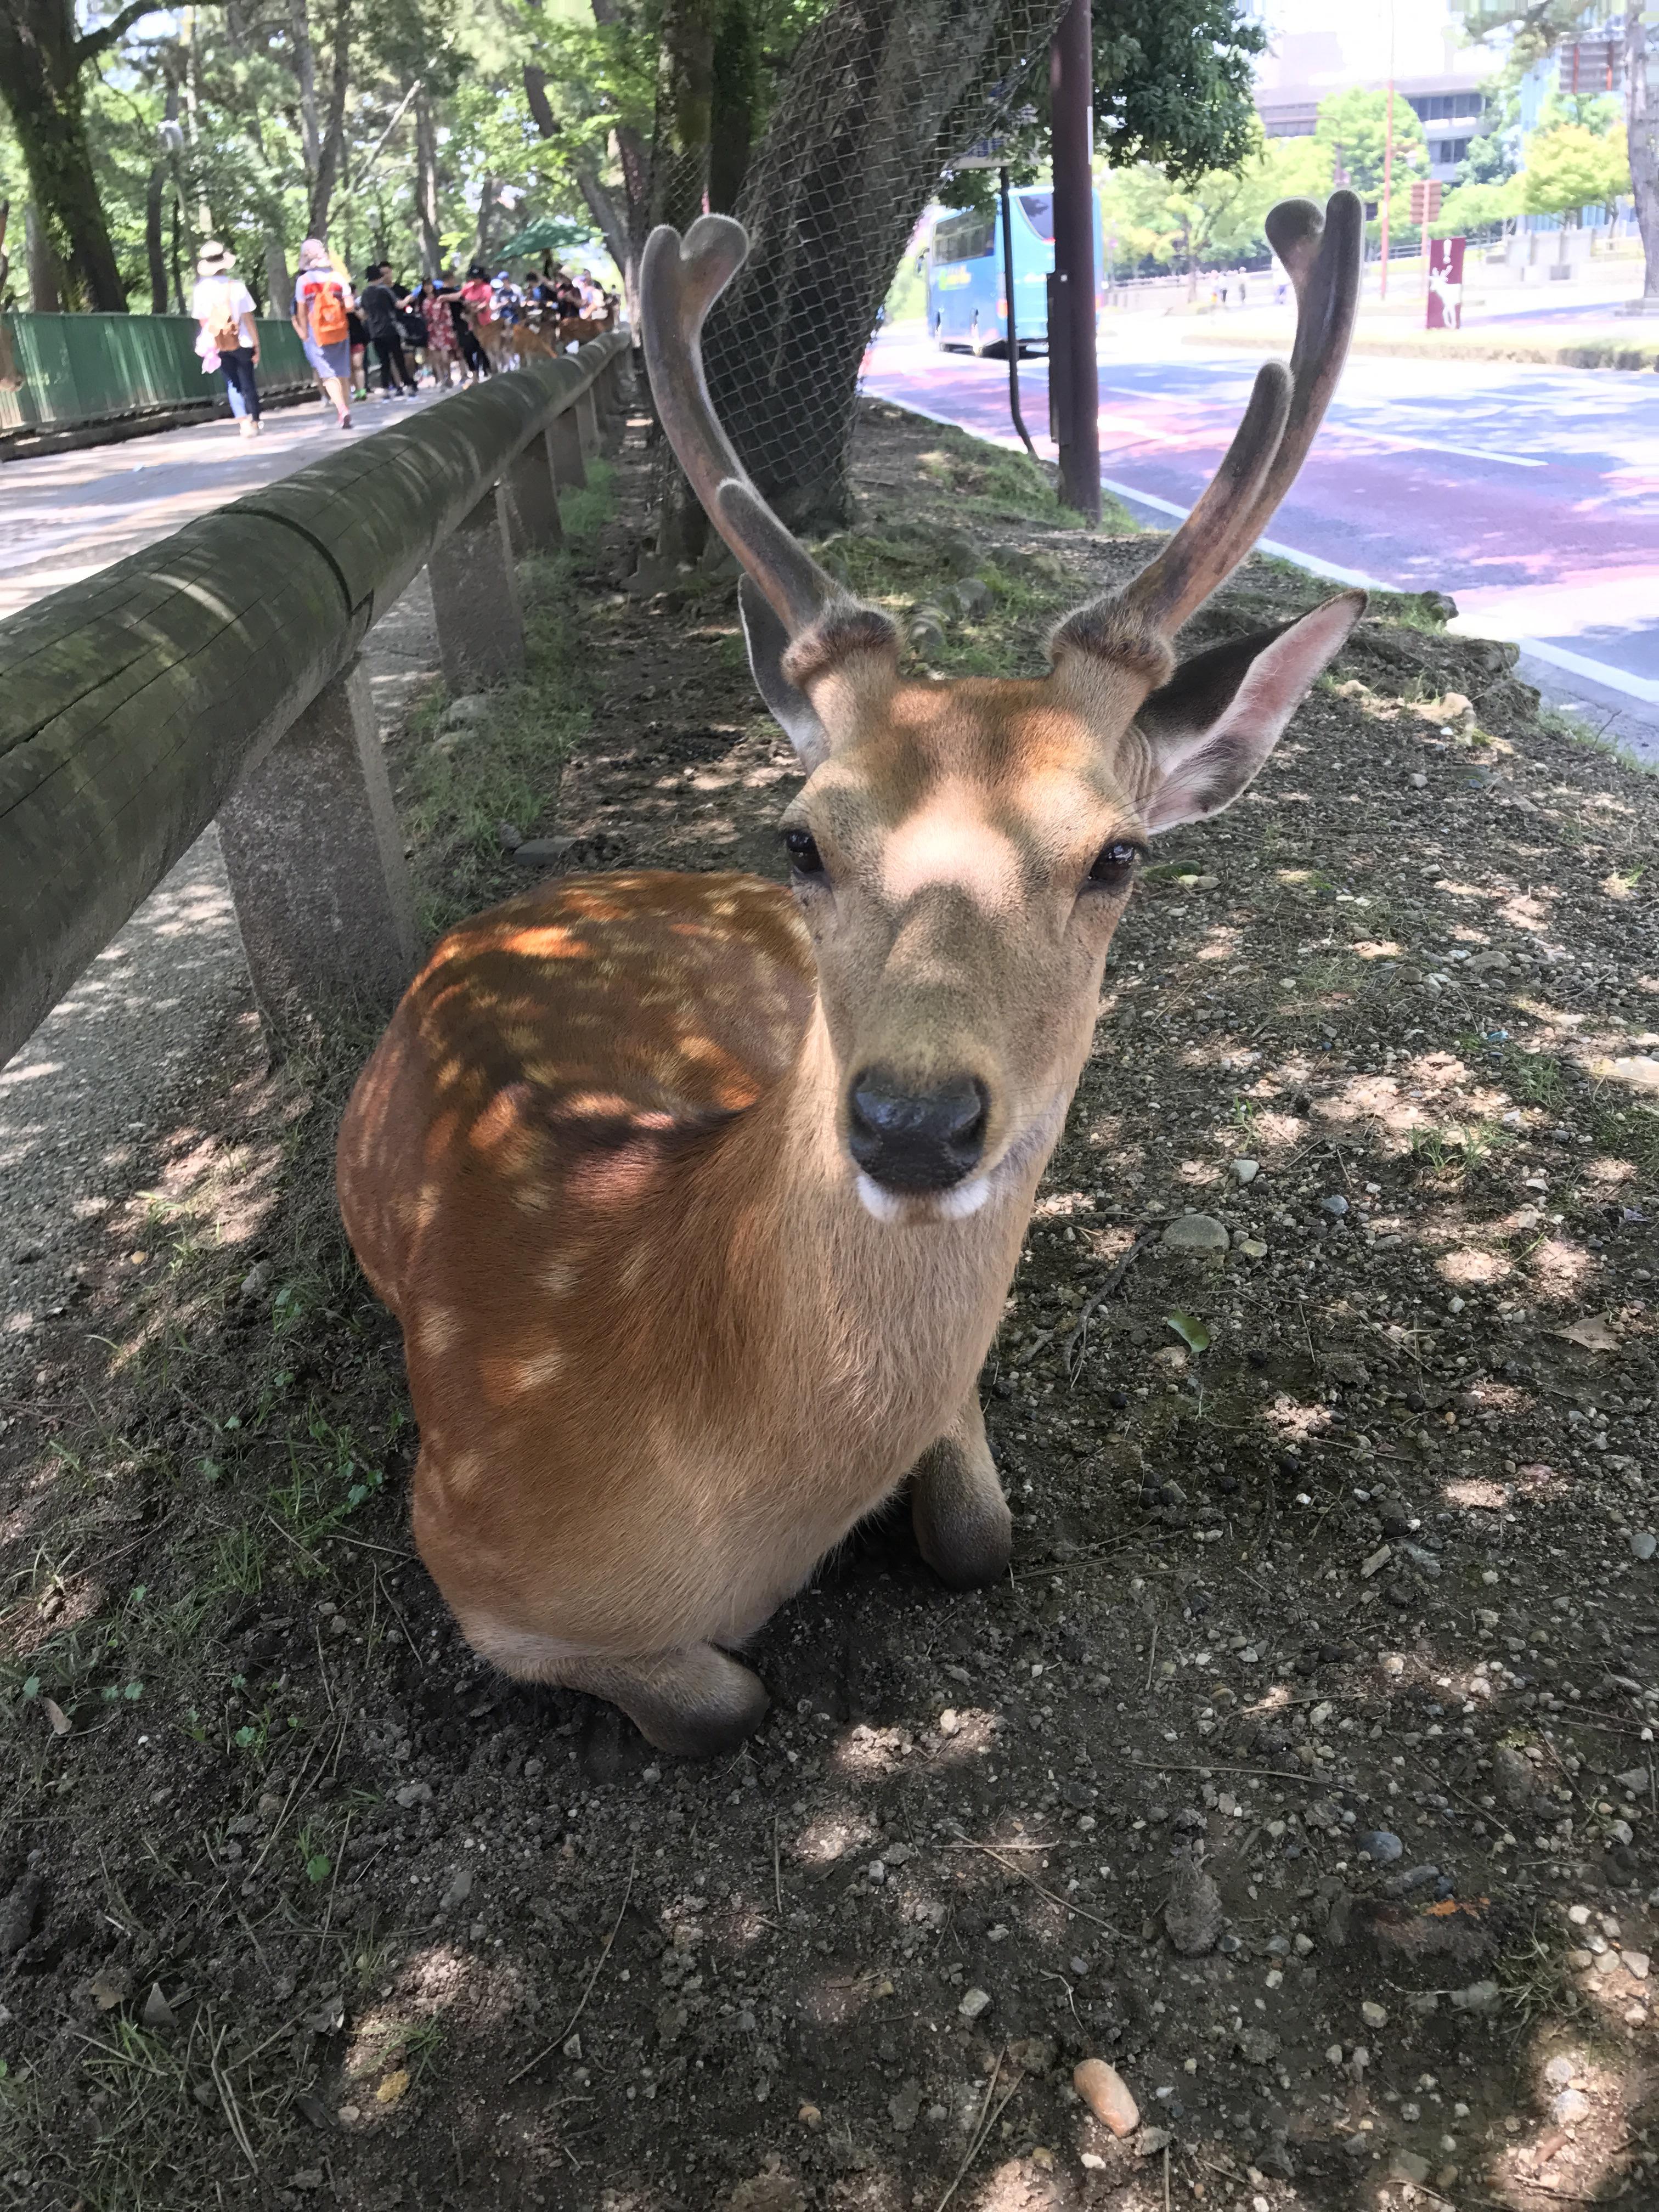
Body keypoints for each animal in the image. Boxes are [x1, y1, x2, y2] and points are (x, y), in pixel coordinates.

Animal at [337, 192, 1364, 1758]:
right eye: (804, 836)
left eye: (1118, 855)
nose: (914, 1125)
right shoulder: (469, 1558)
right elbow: (724, 1705)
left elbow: (982, 1534)